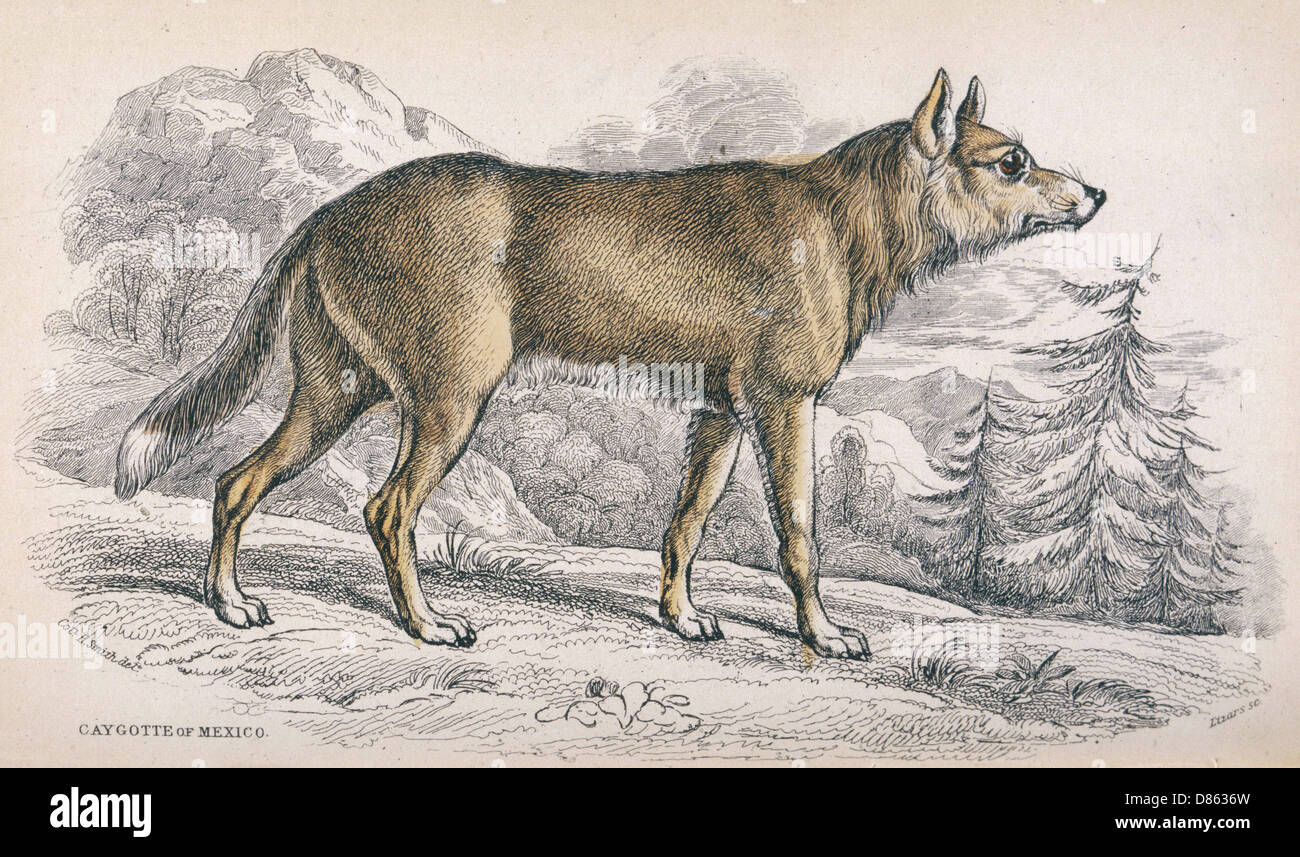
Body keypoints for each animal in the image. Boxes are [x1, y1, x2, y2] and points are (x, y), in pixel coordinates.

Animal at [114, 70, 1104, 659]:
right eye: (1012, 161)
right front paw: (825, 635)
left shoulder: (721, 412)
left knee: (236, 481)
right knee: (386, 508)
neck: (842, 218)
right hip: (446, 403)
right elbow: (800, 536)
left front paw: (682, 616)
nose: (1097, 192)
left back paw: (229, 603)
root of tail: (329, 213)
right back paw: (427, 624)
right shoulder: (785, 405)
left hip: (336, 394)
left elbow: (686, 524)